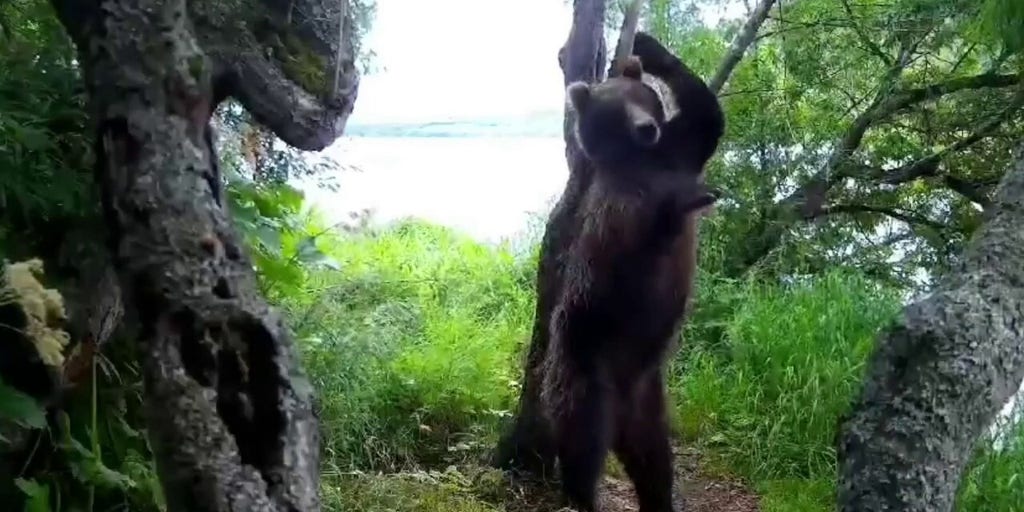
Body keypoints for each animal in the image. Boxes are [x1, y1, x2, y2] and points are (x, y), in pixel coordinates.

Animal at [520, 32, 725, 512]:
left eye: (641, 97)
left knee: (656, 464)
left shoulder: (681, 148)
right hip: (583, 368)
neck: (644, 158)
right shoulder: (616, 214)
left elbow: (706, 113)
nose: (647, 127)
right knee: (580, 446)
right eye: (615, 108)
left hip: (651, 402)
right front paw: (691, 199)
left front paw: (649, 46)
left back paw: (660, 499)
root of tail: (622, 413)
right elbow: (643, 224)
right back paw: (584, 497)